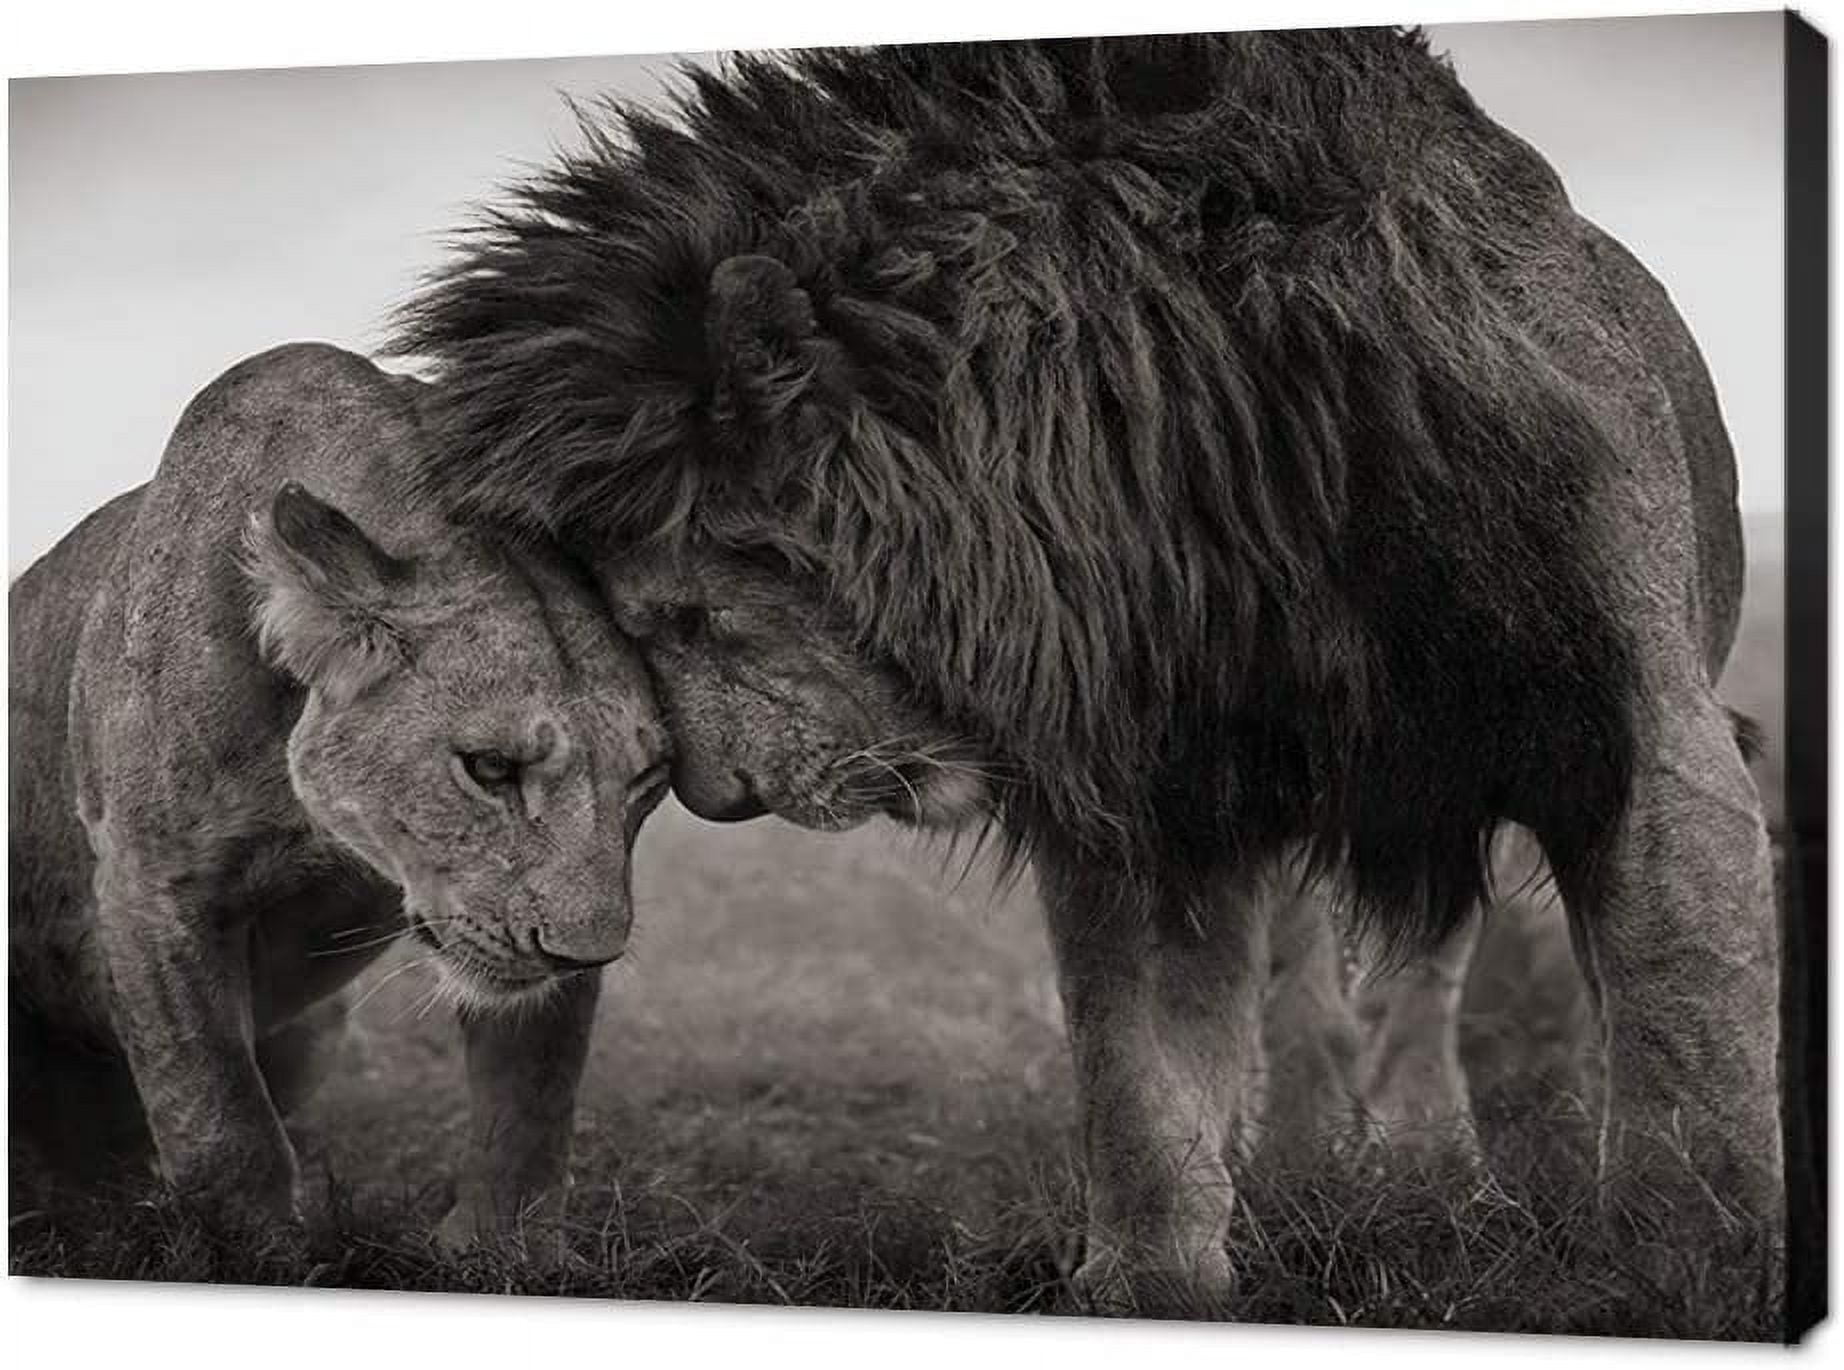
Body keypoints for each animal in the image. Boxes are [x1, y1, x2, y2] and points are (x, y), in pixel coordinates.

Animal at [8, 342, 671, 1244]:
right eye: (490, 769)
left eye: (646, 780)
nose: (585, 953)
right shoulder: (151, 879)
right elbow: (217, 1116)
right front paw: (250, 1249)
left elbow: (532, 1101)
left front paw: (500, 1249)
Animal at [395, 31, 1781, 1305]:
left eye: (681, 616)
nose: (719, 798)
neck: (1216, 480)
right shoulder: (1150, 793)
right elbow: (1140, 1072)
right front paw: (1152, 1280)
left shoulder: (1639, 734)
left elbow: (1683, 1021)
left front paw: (1685, 1271)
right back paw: (1309, 1157)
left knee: (1426, 974)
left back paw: (1434, 1166)